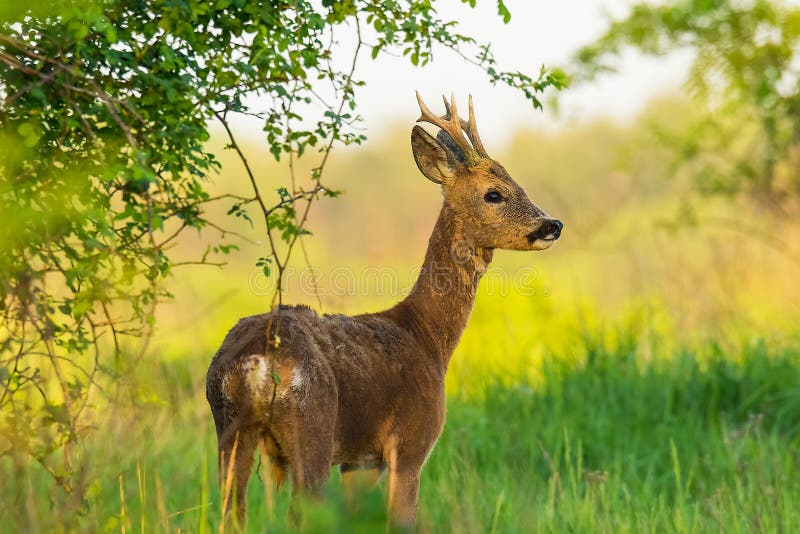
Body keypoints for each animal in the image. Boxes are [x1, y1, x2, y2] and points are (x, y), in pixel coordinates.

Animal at [205, 92, 563, 527]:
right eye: (493, 193)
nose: (552, 224)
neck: (427, 336)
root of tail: (257, 362)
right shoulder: (409, 445)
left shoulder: (360, 461)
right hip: (311, 425)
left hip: (230, 429)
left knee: (230, 510)